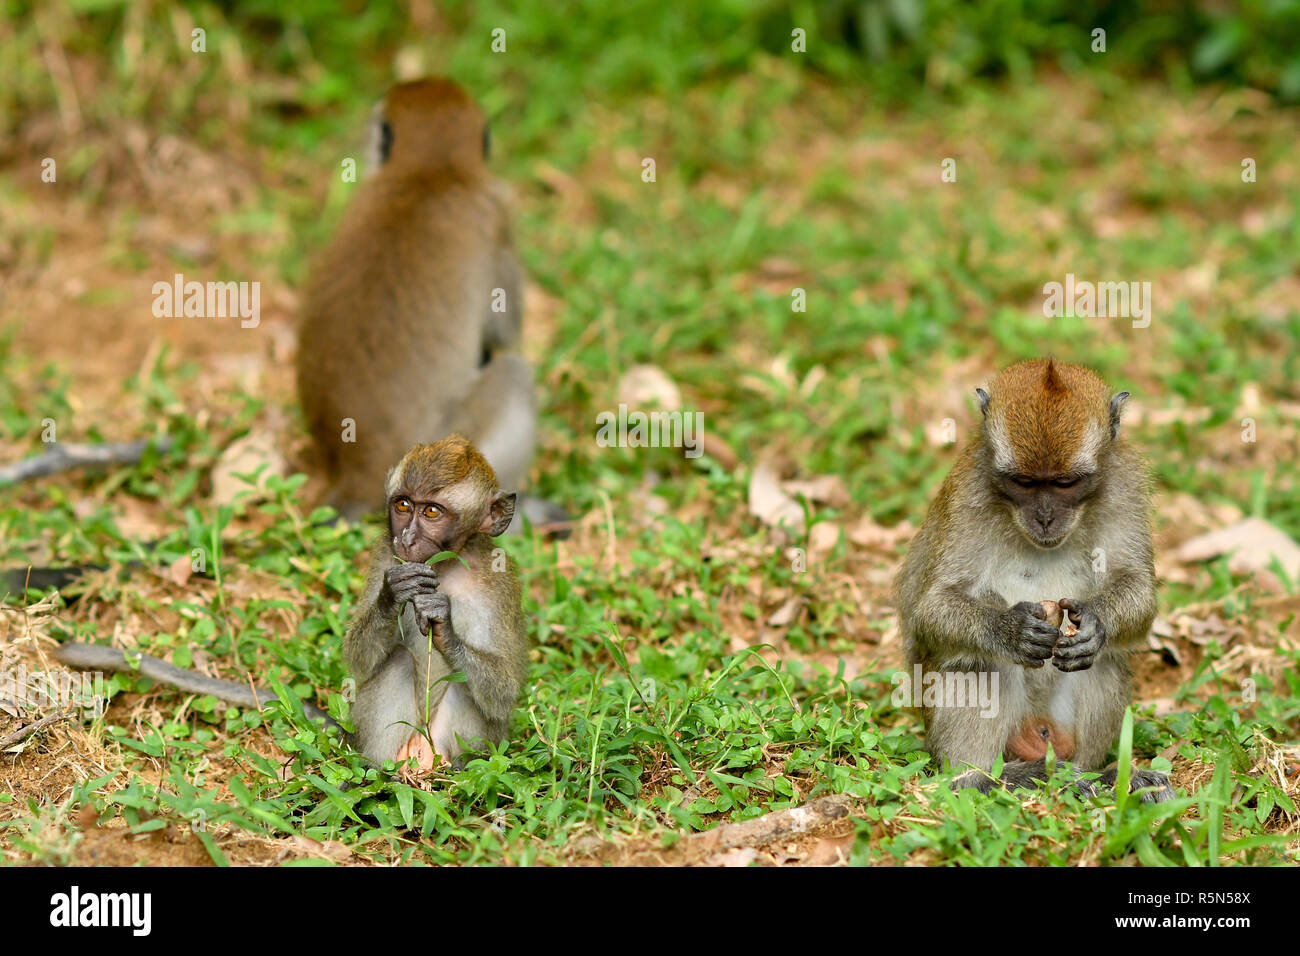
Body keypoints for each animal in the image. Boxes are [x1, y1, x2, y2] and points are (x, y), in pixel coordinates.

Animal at [343, 435, 528, 771]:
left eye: (431, 511)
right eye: (403, 505)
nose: (406, 538)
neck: (445, 568)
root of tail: (423, 748)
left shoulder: (500, 582)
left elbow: (505, 690)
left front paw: (443, 625)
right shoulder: (384, 556)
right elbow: (359, 658)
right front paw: (394, 594)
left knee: (465, 683)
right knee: (399, 660)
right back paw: (380, 771)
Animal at [895, 358, 1174, 803]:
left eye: (1065, 482)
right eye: (1024, 482)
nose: (1044, 517)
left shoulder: (1124, 486)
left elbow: (1137, 587)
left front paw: (1094, 623)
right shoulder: (967, 492)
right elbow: (931, 607)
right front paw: (1009, 630)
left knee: (1104, 662)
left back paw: (1095, 777)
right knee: (978, 665)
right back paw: (984, 780)